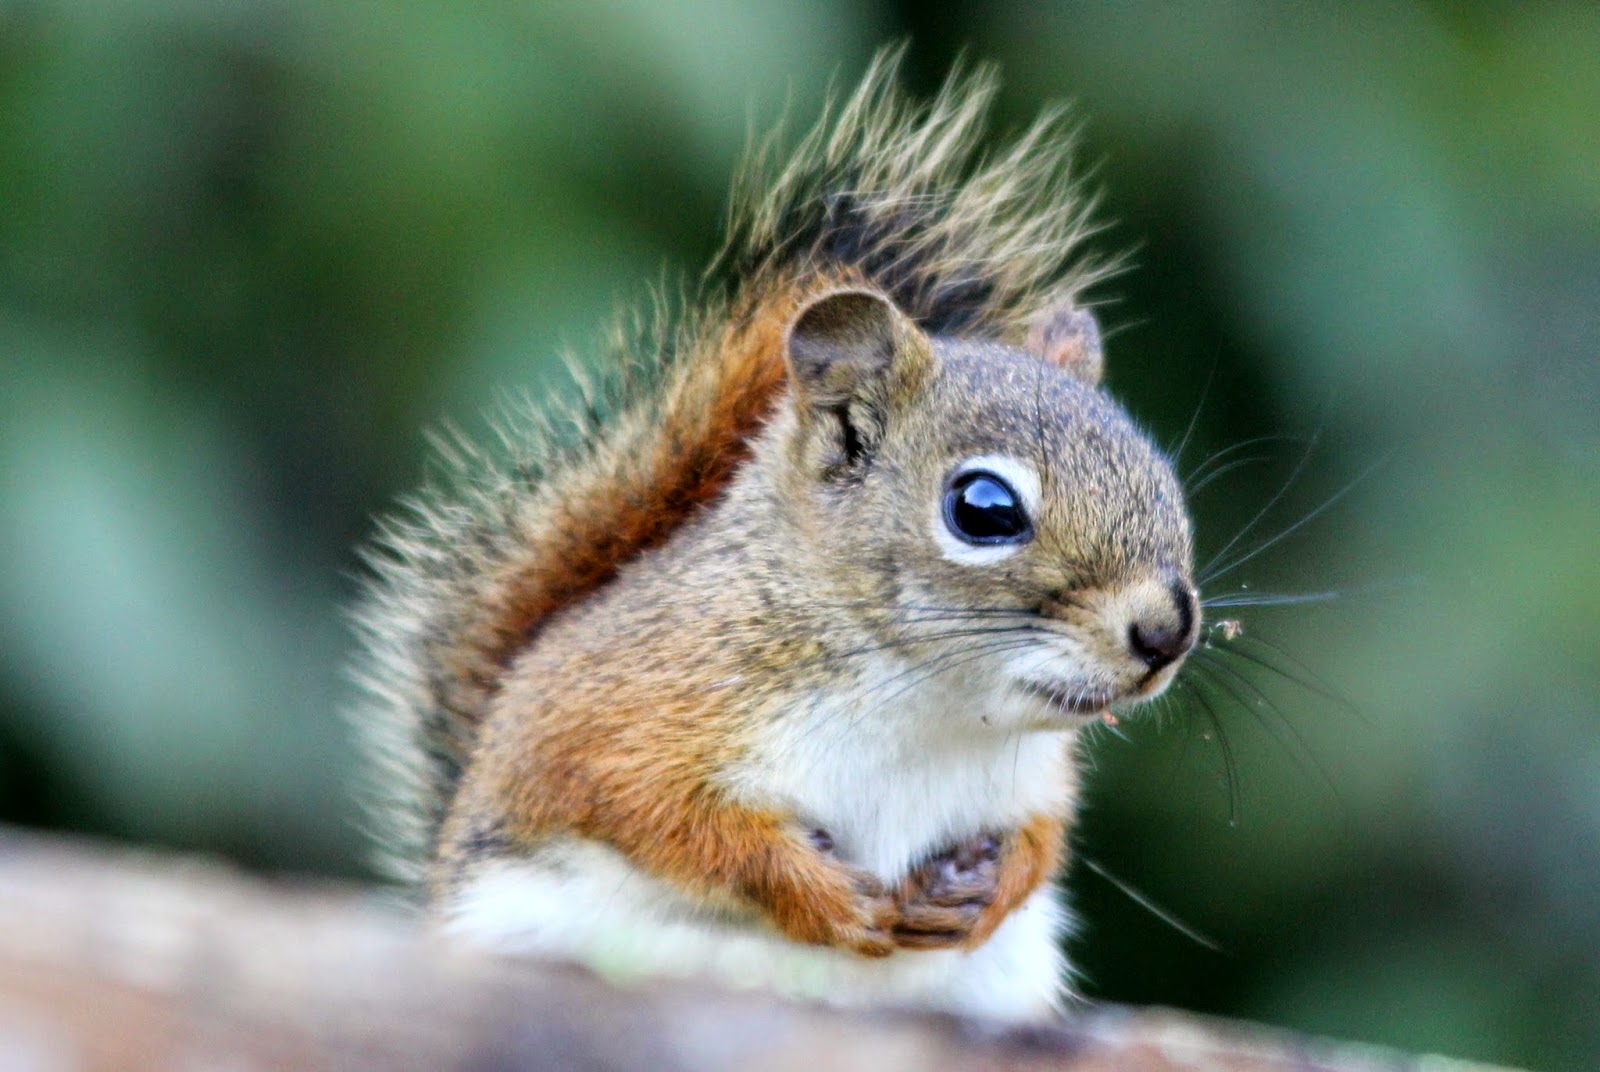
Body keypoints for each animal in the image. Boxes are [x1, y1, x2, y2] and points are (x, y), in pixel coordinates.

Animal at [350, 55, 1198, 1022]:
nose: (1167, 632)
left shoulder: (1035, 776)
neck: (931, 701)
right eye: (983, 509)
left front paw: (985, 892)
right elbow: (656, 811)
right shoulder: (622, 711)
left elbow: (1044, 836)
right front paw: (821, 897)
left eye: (1161, 472)